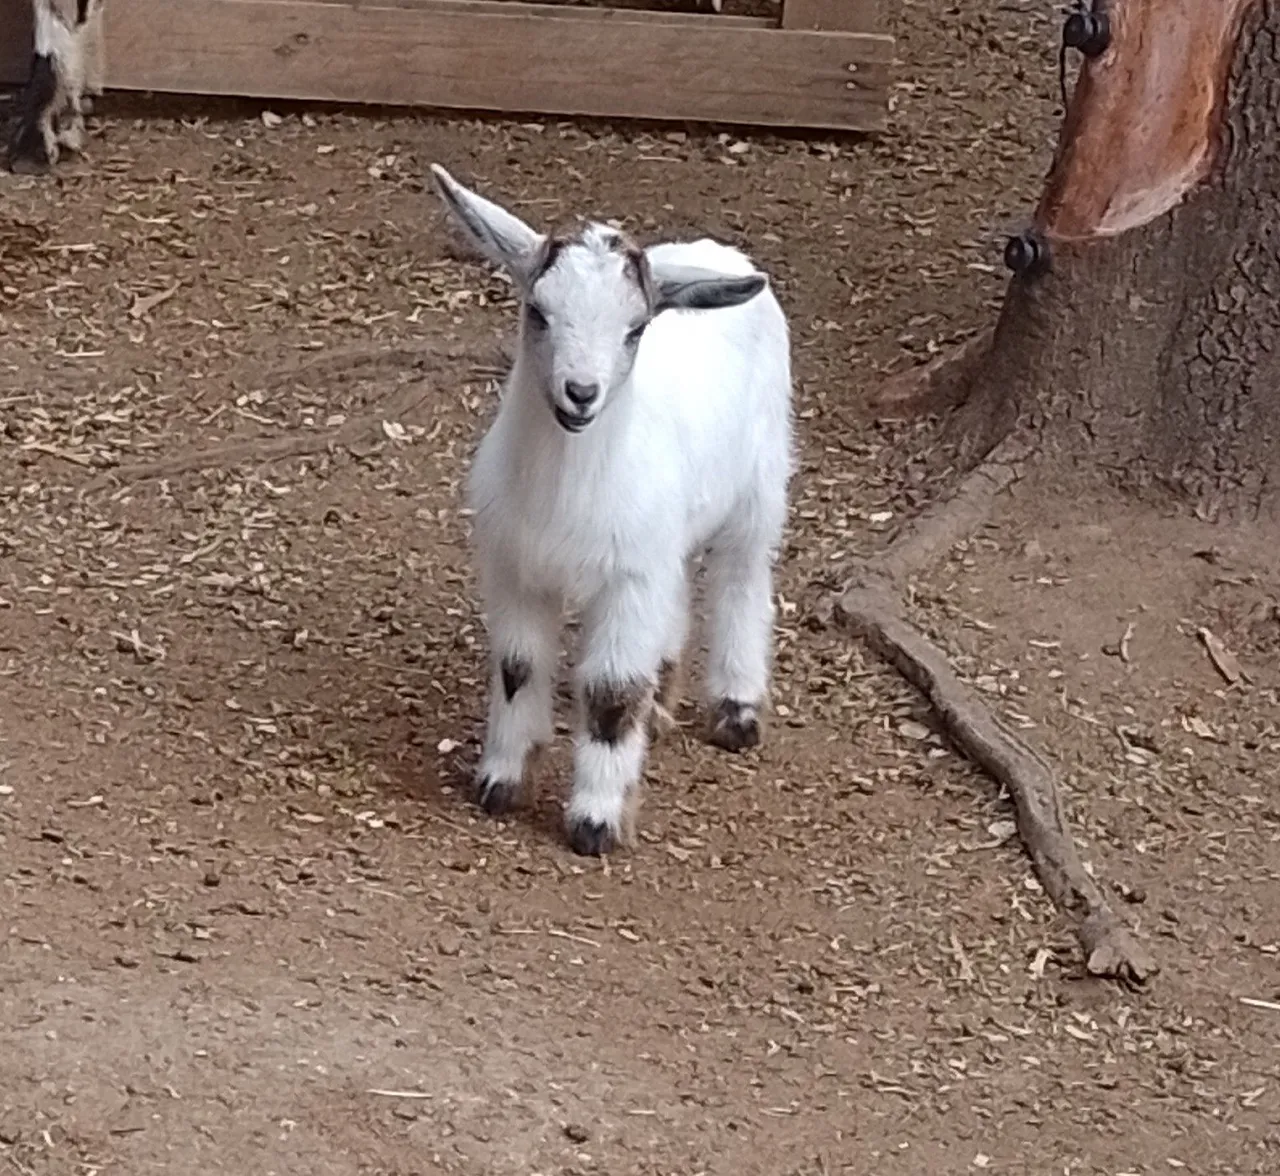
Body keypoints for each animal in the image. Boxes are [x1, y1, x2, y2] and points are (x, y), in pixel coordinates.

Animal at [431, 165, 793, 857]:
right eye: (538, 311)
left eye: (635, 329)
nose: (581, 394)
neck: (565, 490)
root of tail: (719, 256)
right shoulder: (518, 567)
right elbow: (518, 667)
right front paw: (500, 781)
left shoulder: (627, 580)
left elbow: (610, 692)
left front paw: (595, 821)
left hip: (761, 482)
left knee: (743, 578)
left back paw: (737, 710)